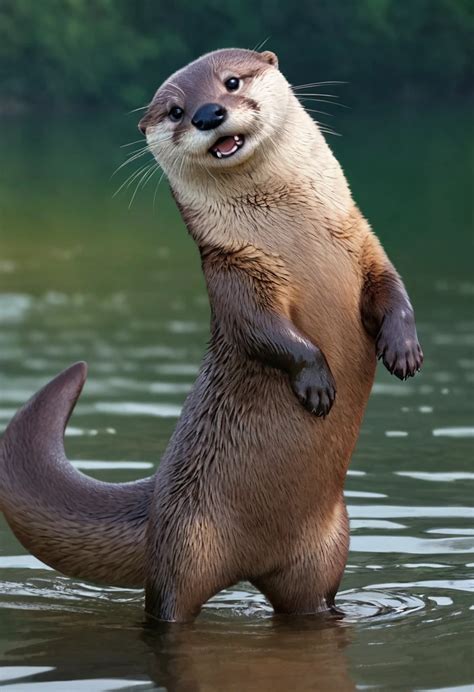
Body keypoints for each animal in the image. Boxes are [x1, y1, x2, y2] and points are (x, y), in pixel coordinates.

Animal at [0, 48, 422, 622]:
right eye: (176, 111)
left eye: (232, 81)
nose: (208, 114)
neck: (298, 238)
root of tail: (156, 491)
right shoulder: (236, 275)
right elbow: (262, 330)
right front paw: (316, 382)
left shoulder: (362, 241)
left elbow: (393, 288)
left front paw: (403, 350)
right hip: (184, 543)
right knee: (168, 604)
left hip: (323, 555)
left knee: (309, 599)